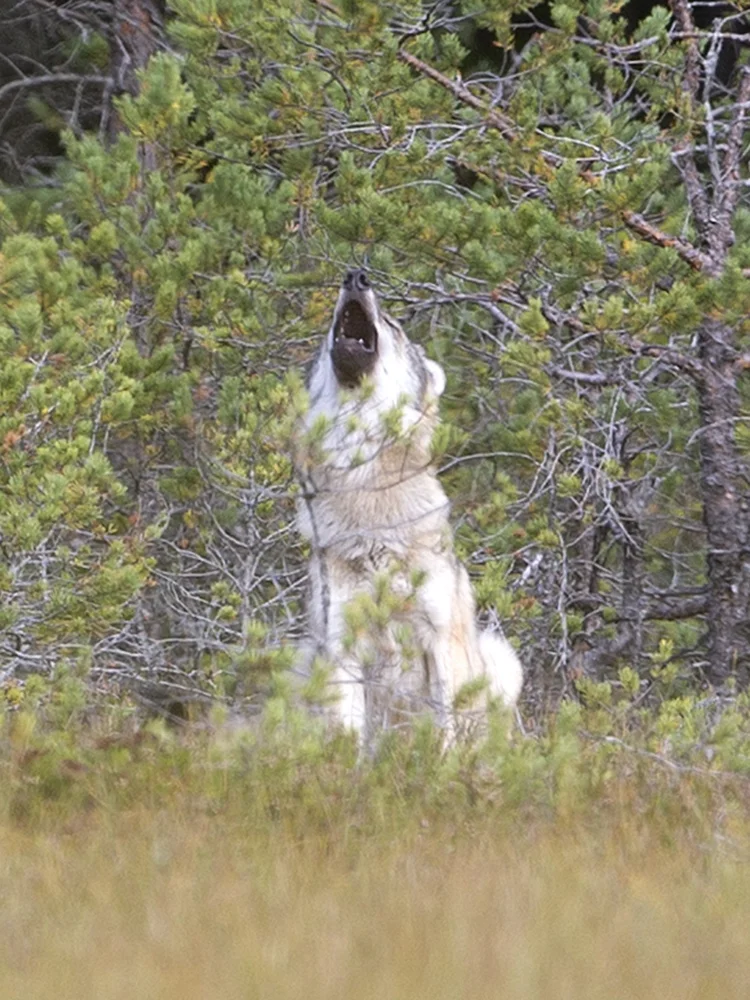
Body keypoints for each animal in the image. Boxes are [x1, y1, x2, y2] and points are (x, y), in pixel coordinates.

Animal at [296, 268, 522, 743]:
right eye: (328, 328)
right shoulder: (340, 647)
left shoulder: (437, 640)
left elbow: (445, 735)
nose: (355, 275)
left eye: (393, 324)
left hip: (499, 658)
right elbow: (347, 739)